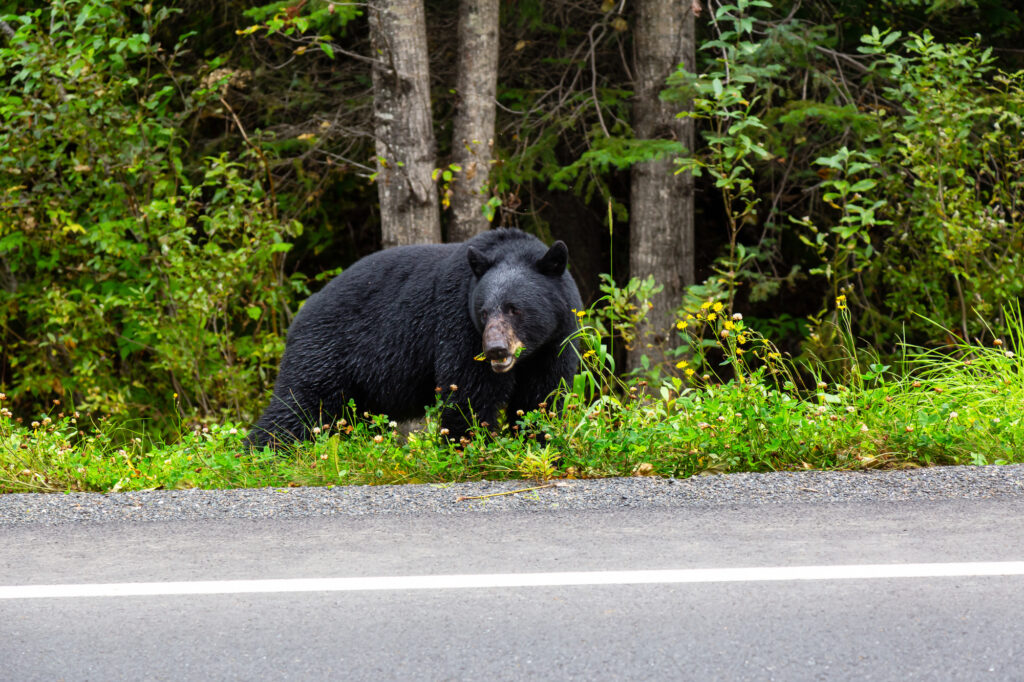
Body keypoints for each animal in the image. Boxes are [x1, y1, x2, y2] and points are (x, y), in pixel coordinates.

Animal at [244, 228, 583, 448]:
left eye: (515, 309)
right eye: (484, 311)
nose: (496, 350)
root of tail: (303, 312)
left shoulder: (556, 340)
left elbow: (543, 393)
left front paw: (540, 440)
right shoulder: (459, 325)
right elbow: (469, 390)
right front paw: (468, 447)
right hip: (324, 353)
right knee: (299, 406)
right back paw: (260, 454)